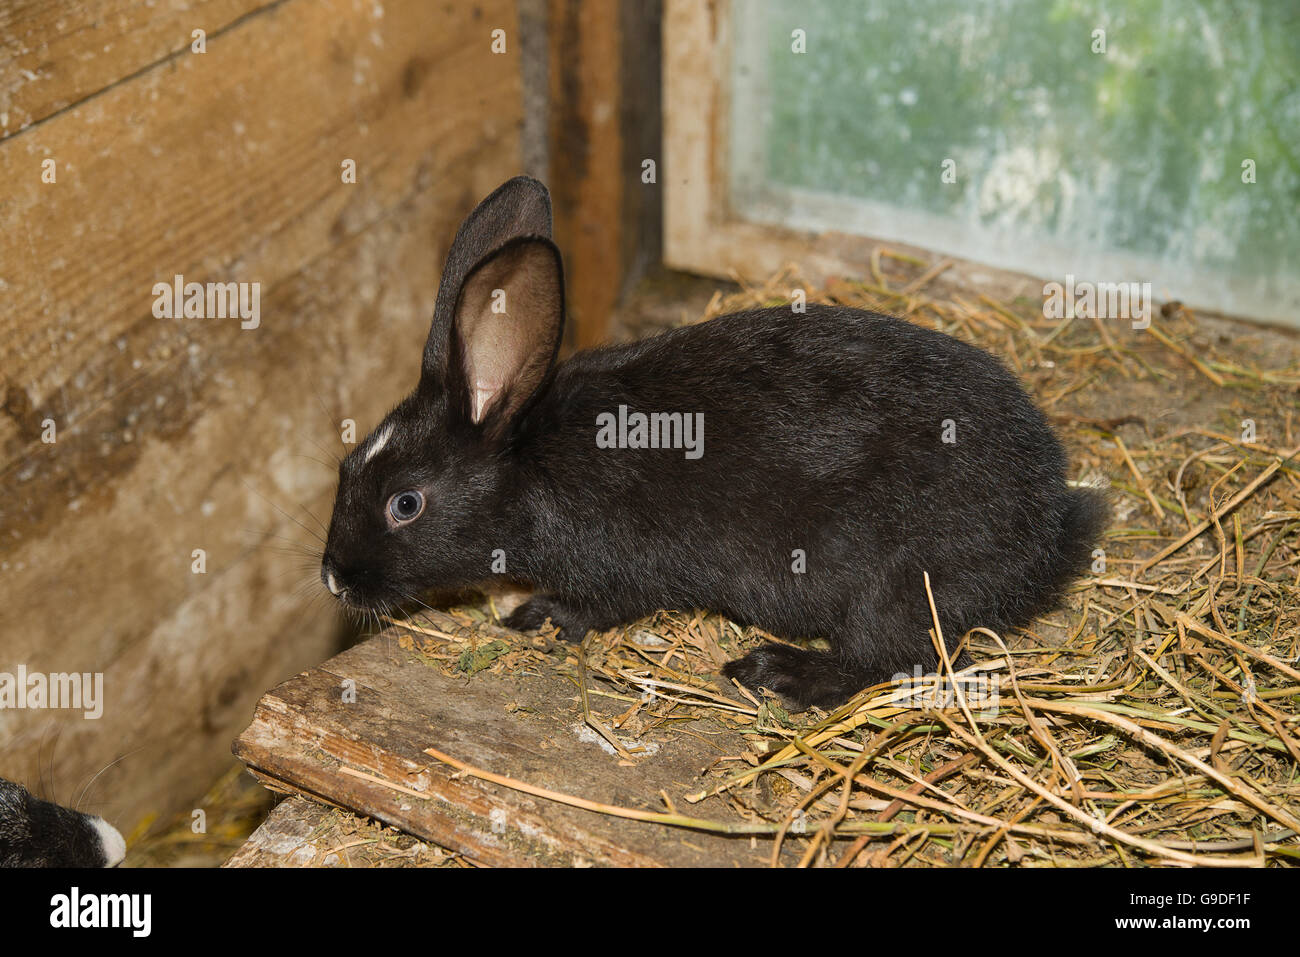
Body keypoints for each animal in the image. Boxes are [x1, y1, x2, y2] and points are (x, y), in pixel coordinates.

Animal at [320, 176, 1107, 710]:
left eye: (406, 503)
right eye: (346, 466)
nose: (333, 578)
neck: (529, 465)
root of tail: (1046, 529)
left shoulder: (620, 565)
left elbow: (599, 605)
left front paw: (536, 616)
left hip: (895, 588)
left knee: (890, 658)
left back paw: (777, 672)